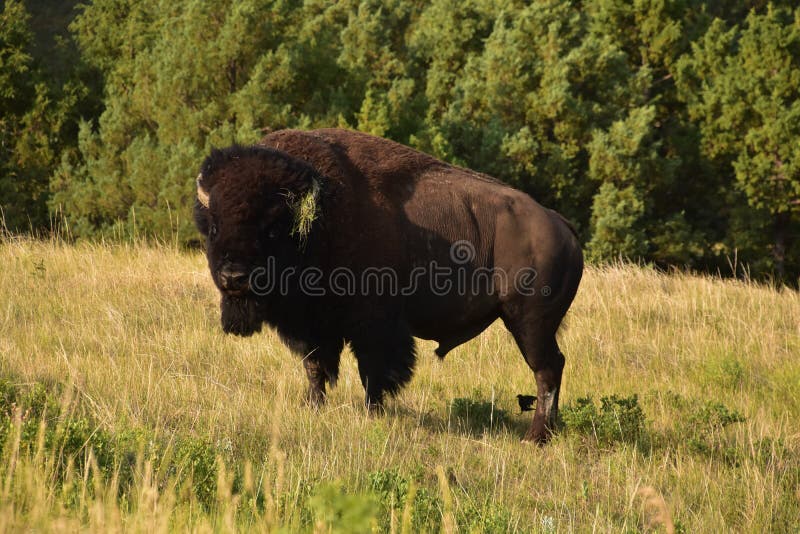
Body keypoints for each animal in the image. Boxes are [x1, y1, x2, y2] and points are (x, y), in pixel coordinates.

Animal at [194, 128, 583, 443]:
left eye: (271, 228)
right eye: (213, 226)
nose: (234, 277)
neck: (321, 215)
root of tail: (560, 224)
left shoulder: (375, 326)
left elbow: (374, 372)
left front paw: (372, 413)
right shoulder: (312, 327)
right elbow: (315, 367)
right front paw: (312, 406)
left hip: (528, 322)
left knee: (546, 369)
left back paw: (535, 438)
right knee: (555, 367)